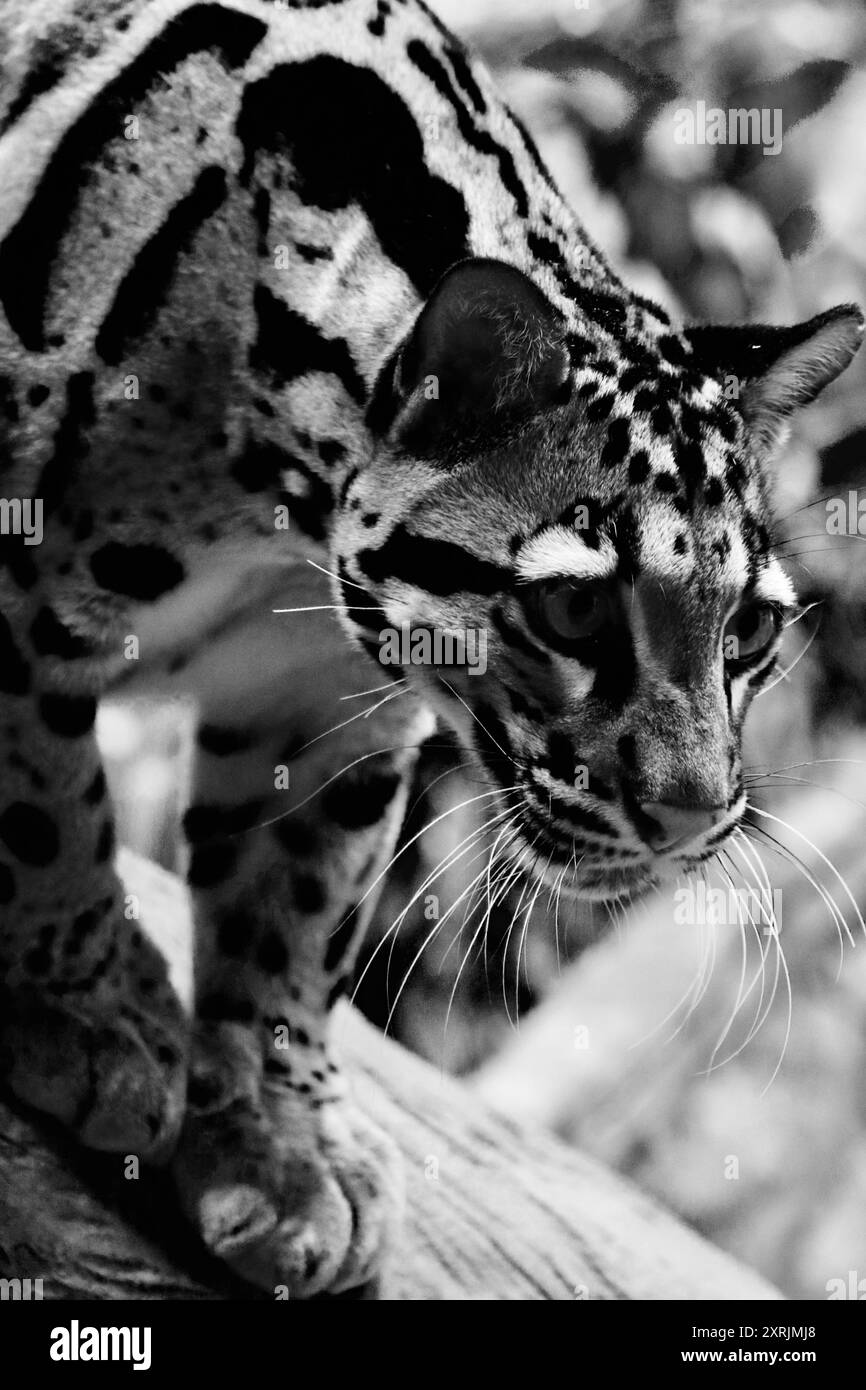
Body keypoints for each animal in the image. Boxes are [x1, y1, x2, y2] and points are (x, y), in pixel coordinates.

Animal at [0, 0, 861, 1298]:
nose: (692, 816)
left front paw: (280, 1143)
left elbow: (294, 907)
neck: (276, 523)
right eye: (572, 614)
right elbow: (46, 803)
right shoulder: (18, 587)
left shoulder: (321, 705)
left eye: (748, 627)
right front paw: (93, 1012)